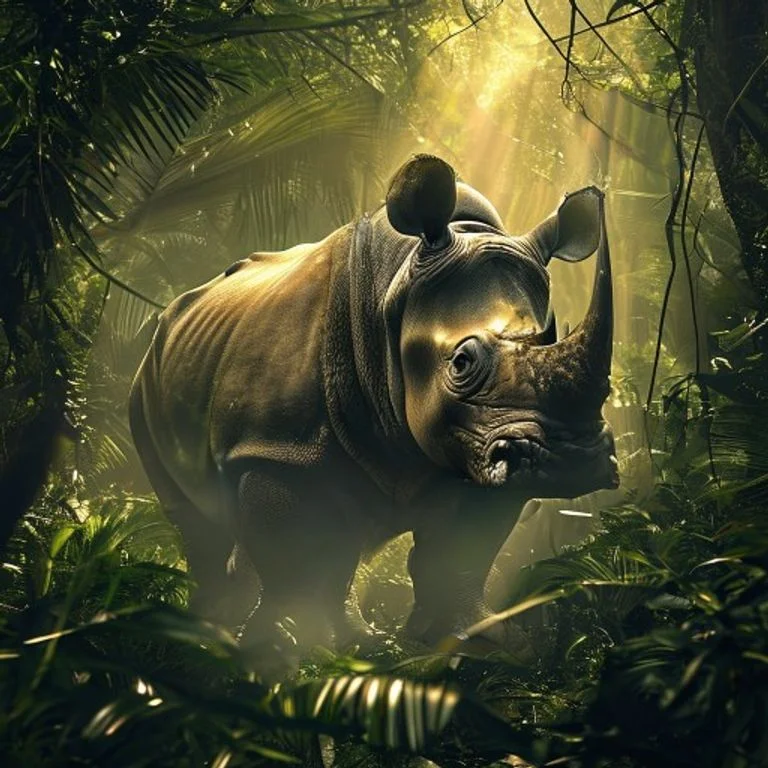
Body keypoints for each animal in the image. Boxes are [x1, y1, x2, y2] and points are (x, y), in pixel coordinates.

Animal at [130, 154, 618, 653]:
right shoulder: (276, 447)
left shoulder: (482, 444)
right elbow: (290, 560)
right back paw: (209, 629)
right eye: (461, 362)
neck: (394, 290)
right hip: (146, 375)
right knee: (198, 524)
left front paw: (480, 641)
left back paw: (354, 639)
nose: (570, 459)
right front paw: (285, 647)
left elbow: (463, 555)